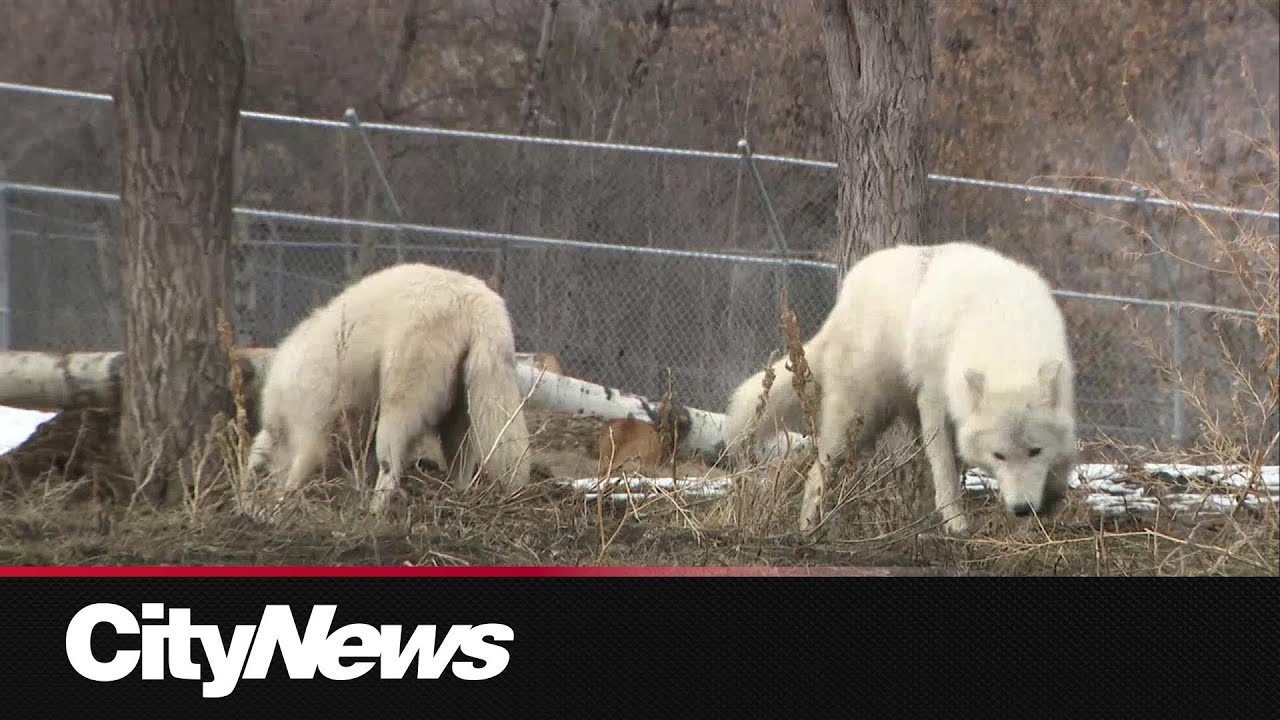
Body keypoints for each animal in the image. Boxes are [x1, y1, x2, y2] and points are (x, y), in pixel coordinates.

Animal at [245, 262, 532, 516]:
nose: (251, 507)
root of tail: (478, 302)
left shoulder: (311, 428)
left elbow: (299, 470)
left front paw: (283, 504)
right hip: (462, 409)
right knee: (460, 462)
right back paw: (458, 497)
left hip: (401, 400)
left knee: (391, 465)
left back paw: (374, 509)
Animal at [722, 242, 1078, 535]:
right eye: (999, 456)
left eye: (1035, 451)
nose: (1022, 510)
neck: (1004, 334)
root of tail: (846, 294)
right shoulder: (933, 397)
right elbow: (944, 467)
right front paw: (955, 521)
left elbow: (1063, 458)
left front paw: (1054, 494)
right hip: (857, 416)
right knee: (818, 468)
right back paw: (808, 526)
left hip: (879, 420)